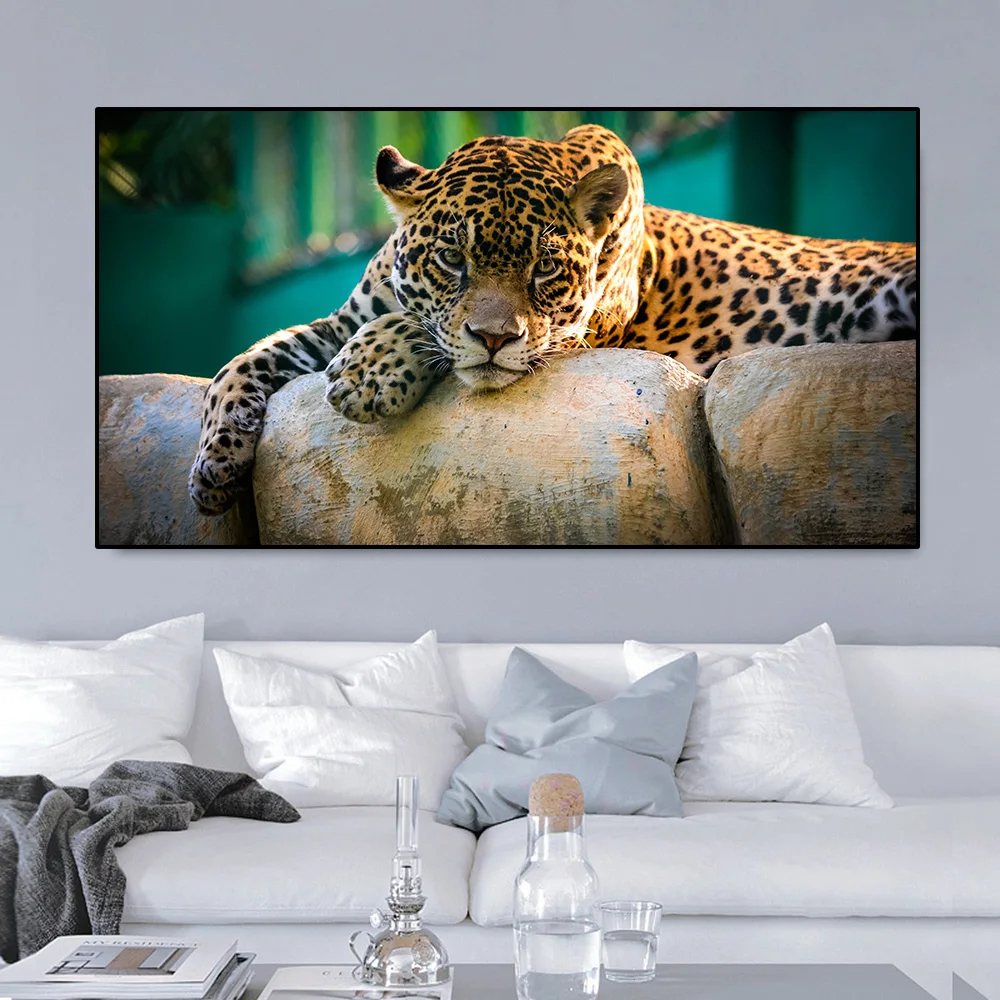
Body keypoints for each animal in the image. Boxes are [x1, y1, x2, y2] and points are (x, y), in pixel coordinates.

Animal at [189, 124, 916, 515]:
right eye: (451, 257)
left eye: (545, 270)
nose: (494, 337)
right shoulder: (340, 321)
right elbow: (242, 361)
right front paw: (213, 469)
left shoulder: (578, 332)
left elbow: (428, 334)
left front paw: (370, 372)